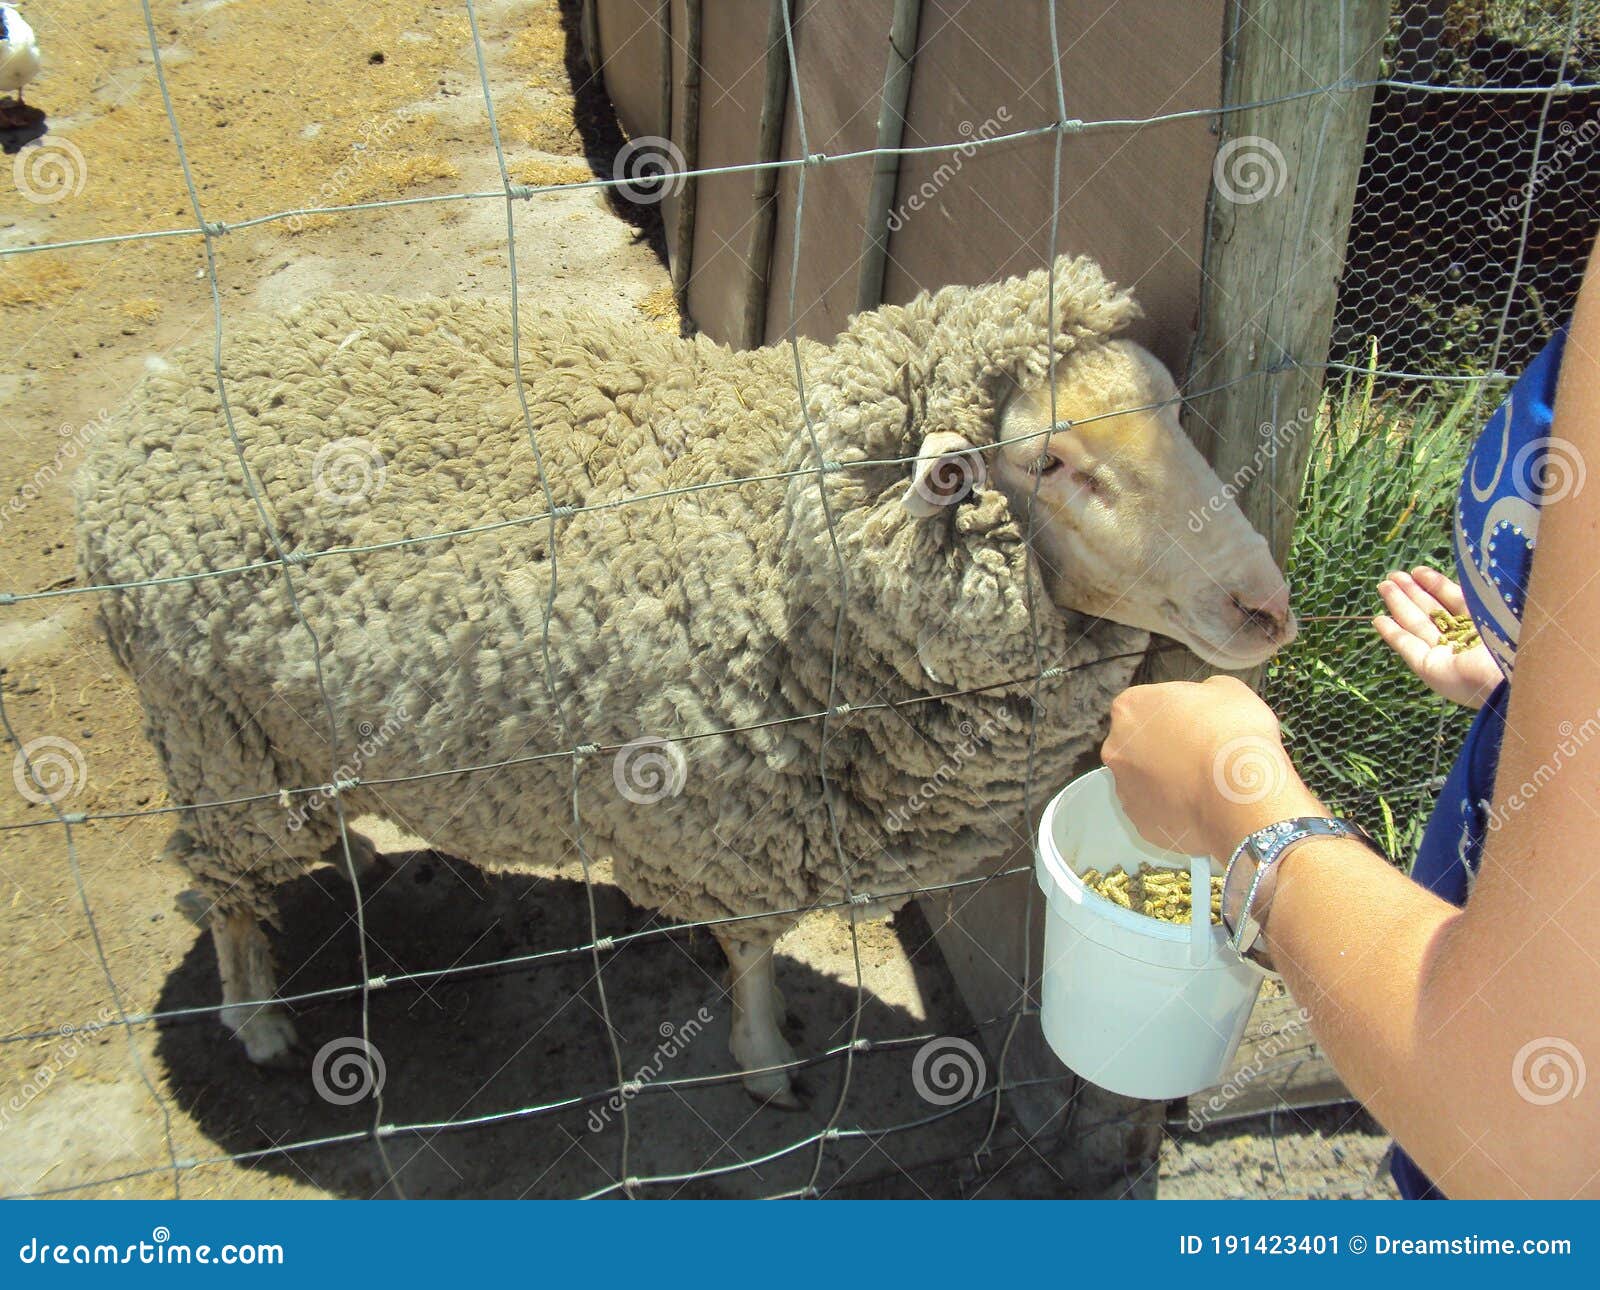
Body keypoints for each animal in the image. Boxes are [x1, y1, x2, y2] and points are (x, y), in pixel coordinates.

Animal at [74, 255, 1294, 1107]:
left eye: (1174, 413)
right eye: (1052, 461)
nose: (1264, 607)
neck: (779, 551)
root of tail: (135, 420)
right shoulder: (723, 823)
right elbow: (750, 950)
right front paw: (764, 1061)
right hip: (214, 738)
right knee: (226, 885)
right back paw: (259, 1019)